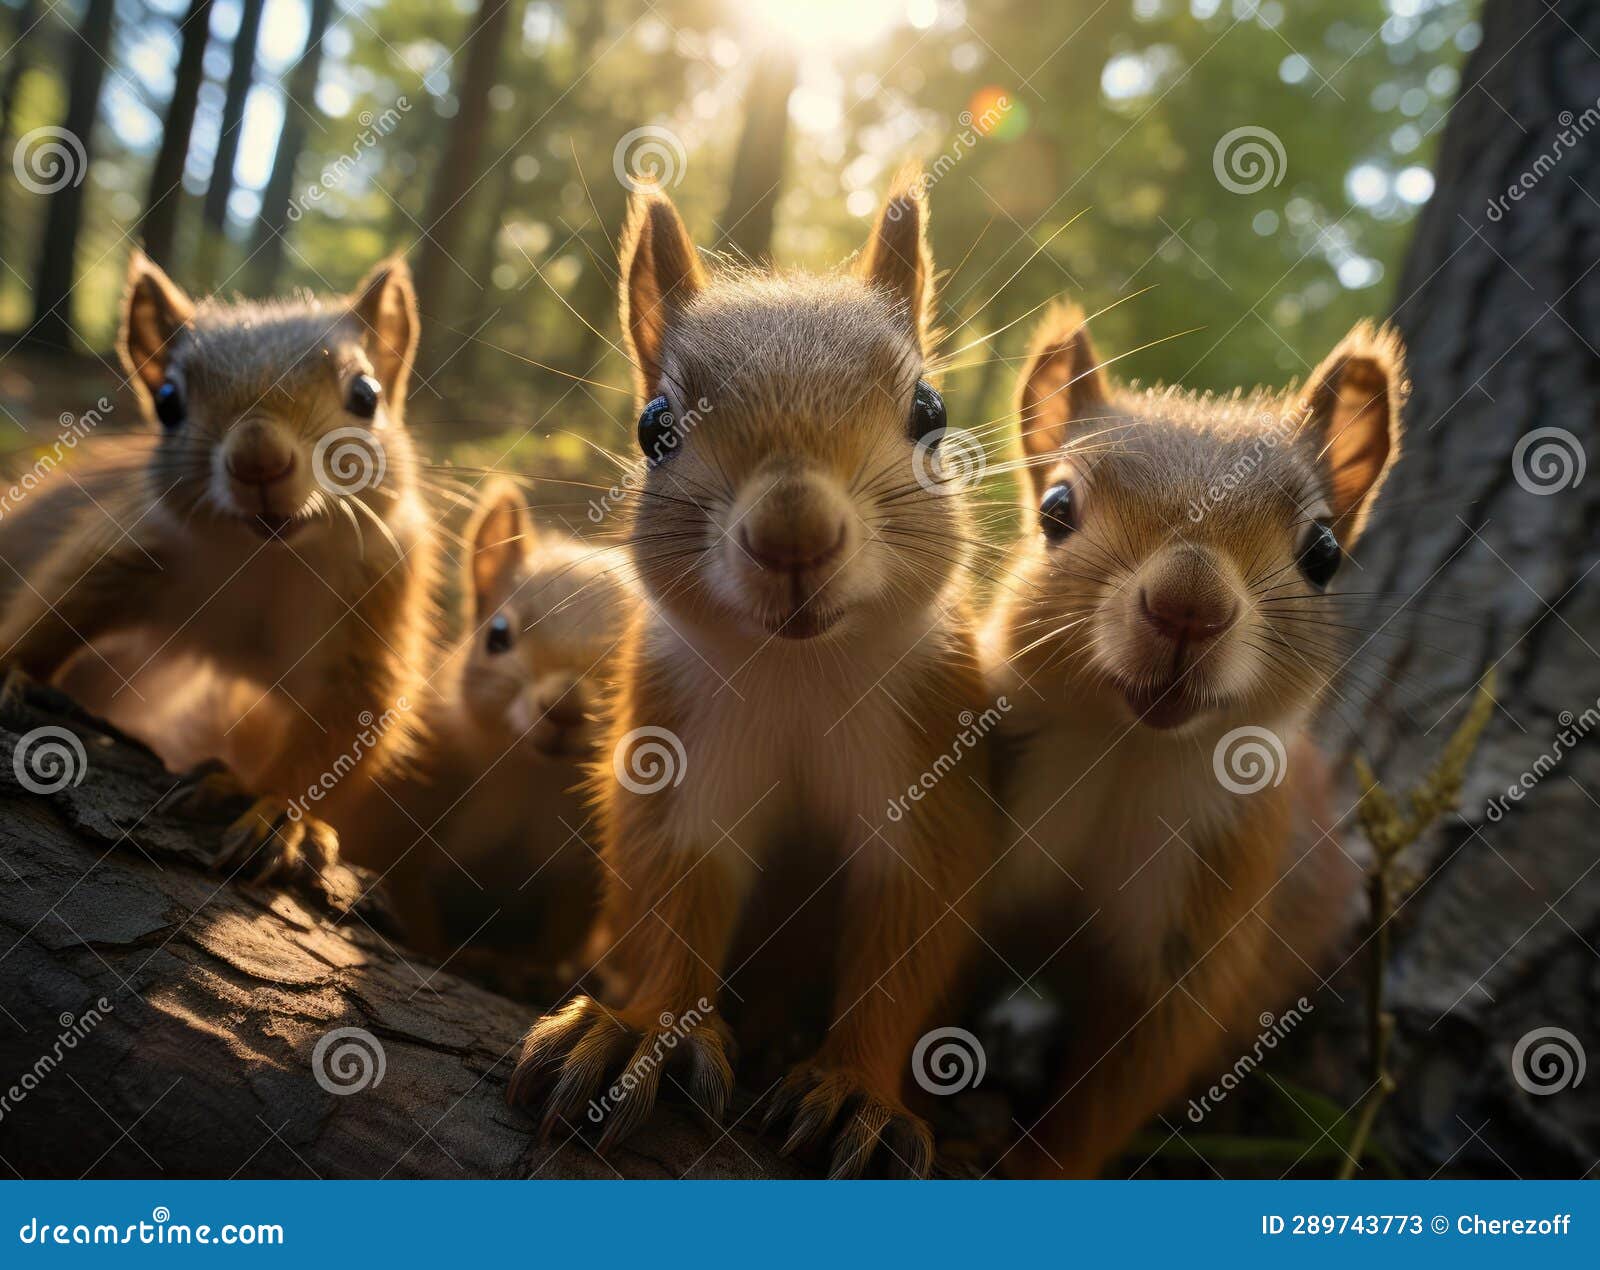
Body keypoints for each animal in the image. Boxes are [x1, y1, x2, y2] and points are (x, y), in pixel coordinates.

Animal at [0, 250, 437, 883]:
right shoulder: (130, 549)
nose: (258, 459)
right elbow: (56, 607)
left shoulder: (374, 604)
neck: (264, 559)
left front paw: (277, 810)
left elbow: (354, 717)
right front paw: (12, 669)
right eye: (167, 401)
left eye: (367, 393)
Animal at [334, 478, 630, 982]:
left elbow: (562, 932)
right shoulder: (404, 807)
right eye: (497, 635)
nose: (565, 710)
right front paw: (442, 950)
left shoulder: (584, 868)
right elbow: (406, 890)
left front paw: (533, 974)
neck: (532, 778)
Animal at [505, 173, 997, 1178]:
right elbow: (676, 888)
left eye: (930, 412)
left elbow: (912, 926)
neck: (797, 673)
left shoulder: (931, 765)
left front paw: (857, 1088)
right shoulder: (678, 752)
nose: (794, 534)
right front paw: (637, 1031)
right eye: (655, 427)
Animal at [979, 303, 1404, 1178]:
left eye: (1323, 552)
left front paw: (1032, 1165)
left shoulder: (1208, 914)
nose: (1189, 605)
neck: (1127, 752)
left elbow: (1130, 1073)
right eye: (1056, 507)